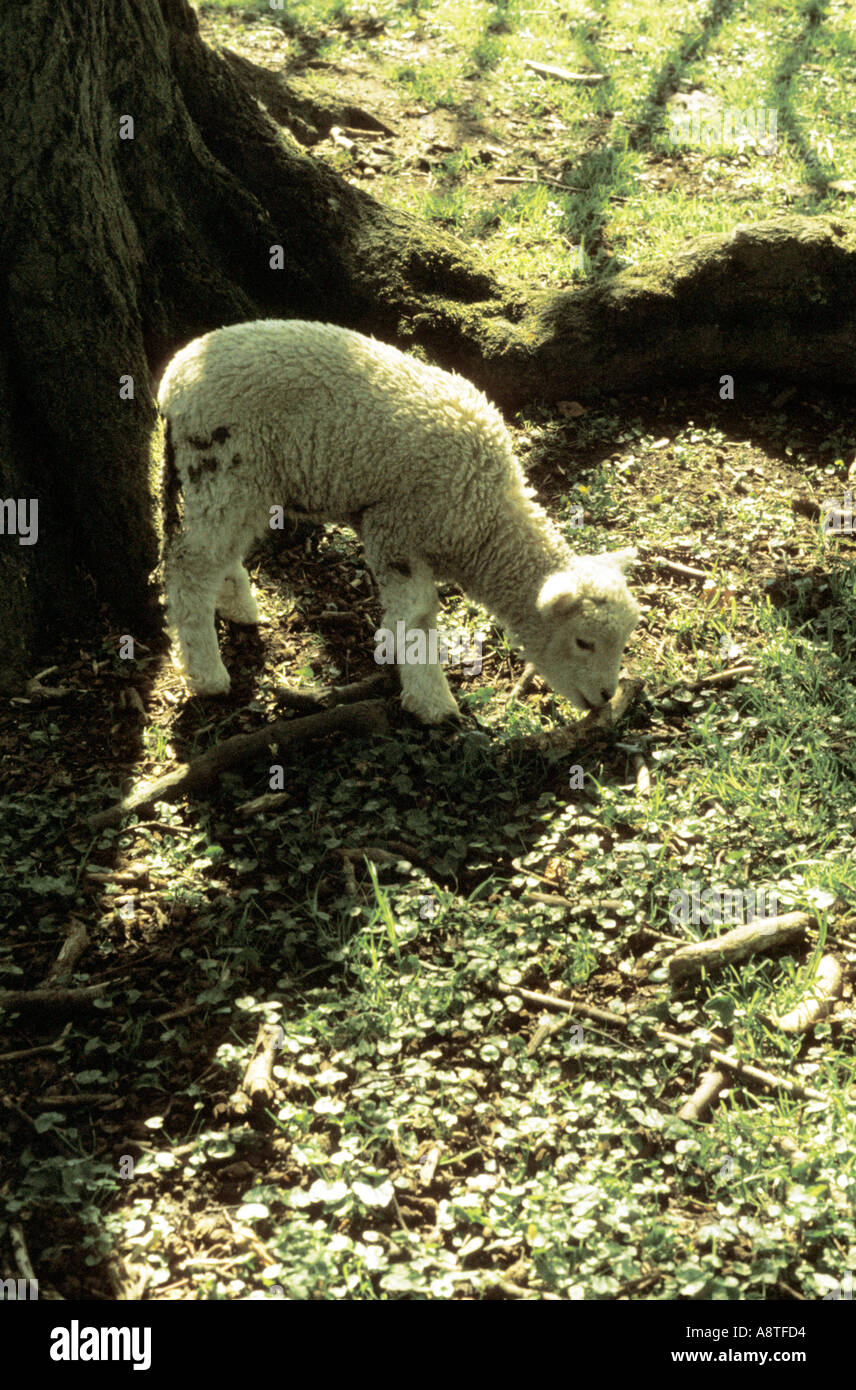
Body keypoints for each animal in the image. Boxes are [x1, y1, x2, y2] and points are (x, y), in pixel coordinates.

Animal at [157, 320, 640, 724]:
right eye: (583, 641)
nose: (605, 696)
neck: (484, 523)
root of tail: (172, 381)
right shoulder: (396, 531)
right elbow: (420, 613)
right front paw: (432, 701)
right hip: (223, 465)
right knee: (190, 562)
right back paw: (207, 673)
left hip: (249, 480)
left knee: (223, 548)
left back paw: (237, 606)